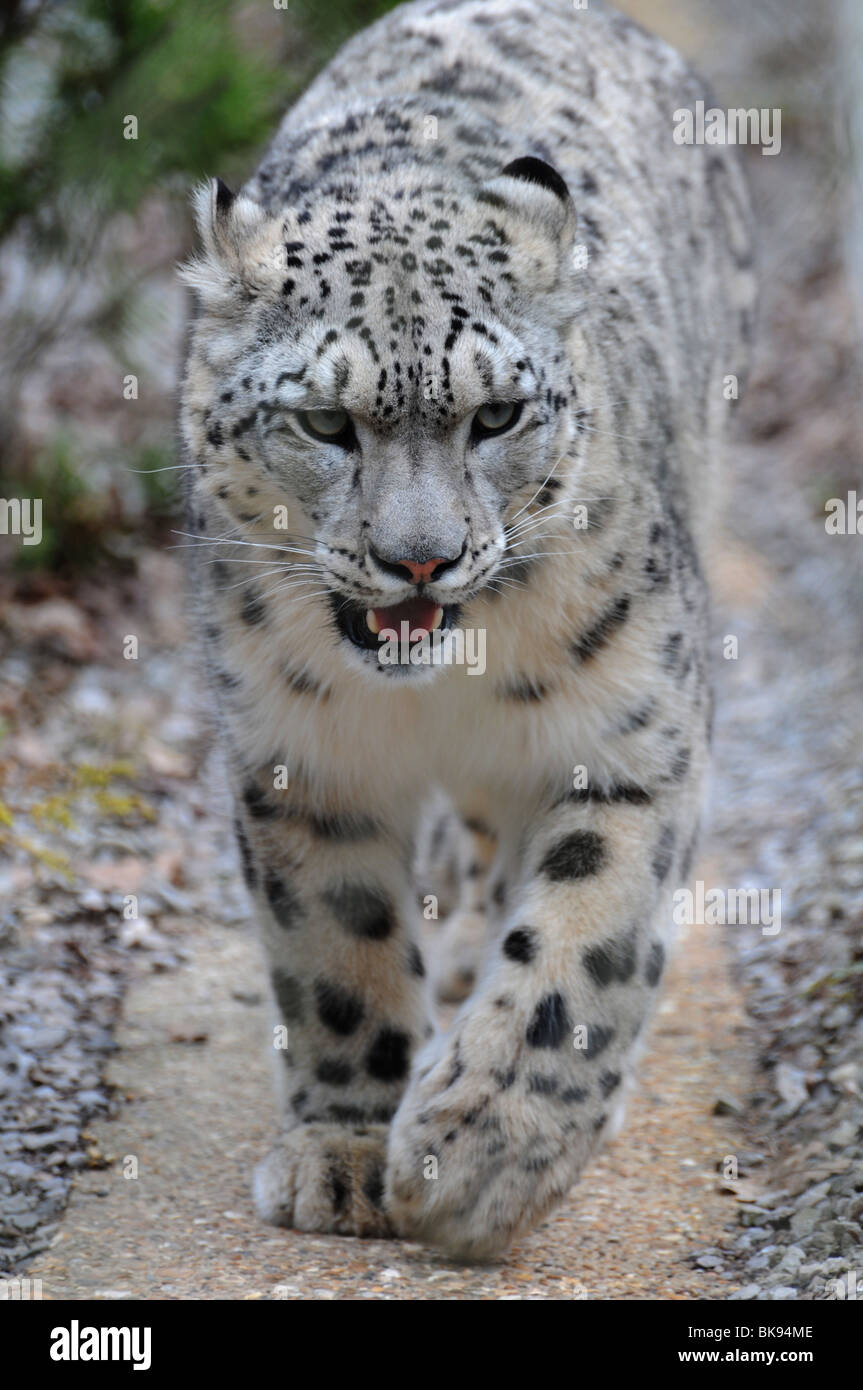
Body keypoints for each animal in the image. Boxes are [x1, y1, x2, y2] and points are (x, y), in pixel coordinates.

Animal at [179, 0, 755, 1260]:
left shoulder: (631, 732)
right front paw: (345, 1148)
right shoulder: (299, 753)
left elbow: (583, 941)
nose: (419, 555)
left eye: (495, 413)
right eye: (323, 420)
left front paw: (479, 1153)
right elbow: (333, 947)